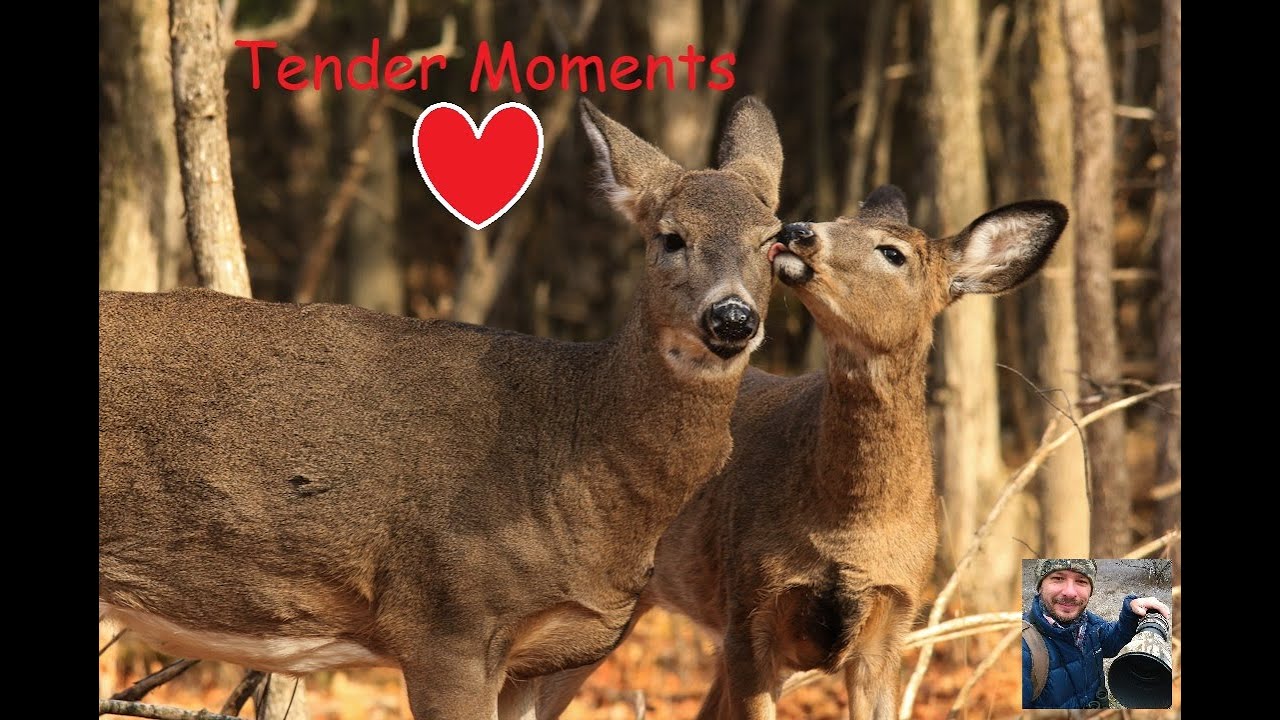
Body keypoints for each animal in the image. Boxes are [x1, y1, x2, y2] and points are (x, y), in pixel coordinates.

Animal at [527, 186, 1068, 720]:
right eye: (841, 219)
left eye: (893, 253)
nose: (797, 230)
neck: (850, 528)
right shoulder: (749, 611)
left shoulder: (890, 626)